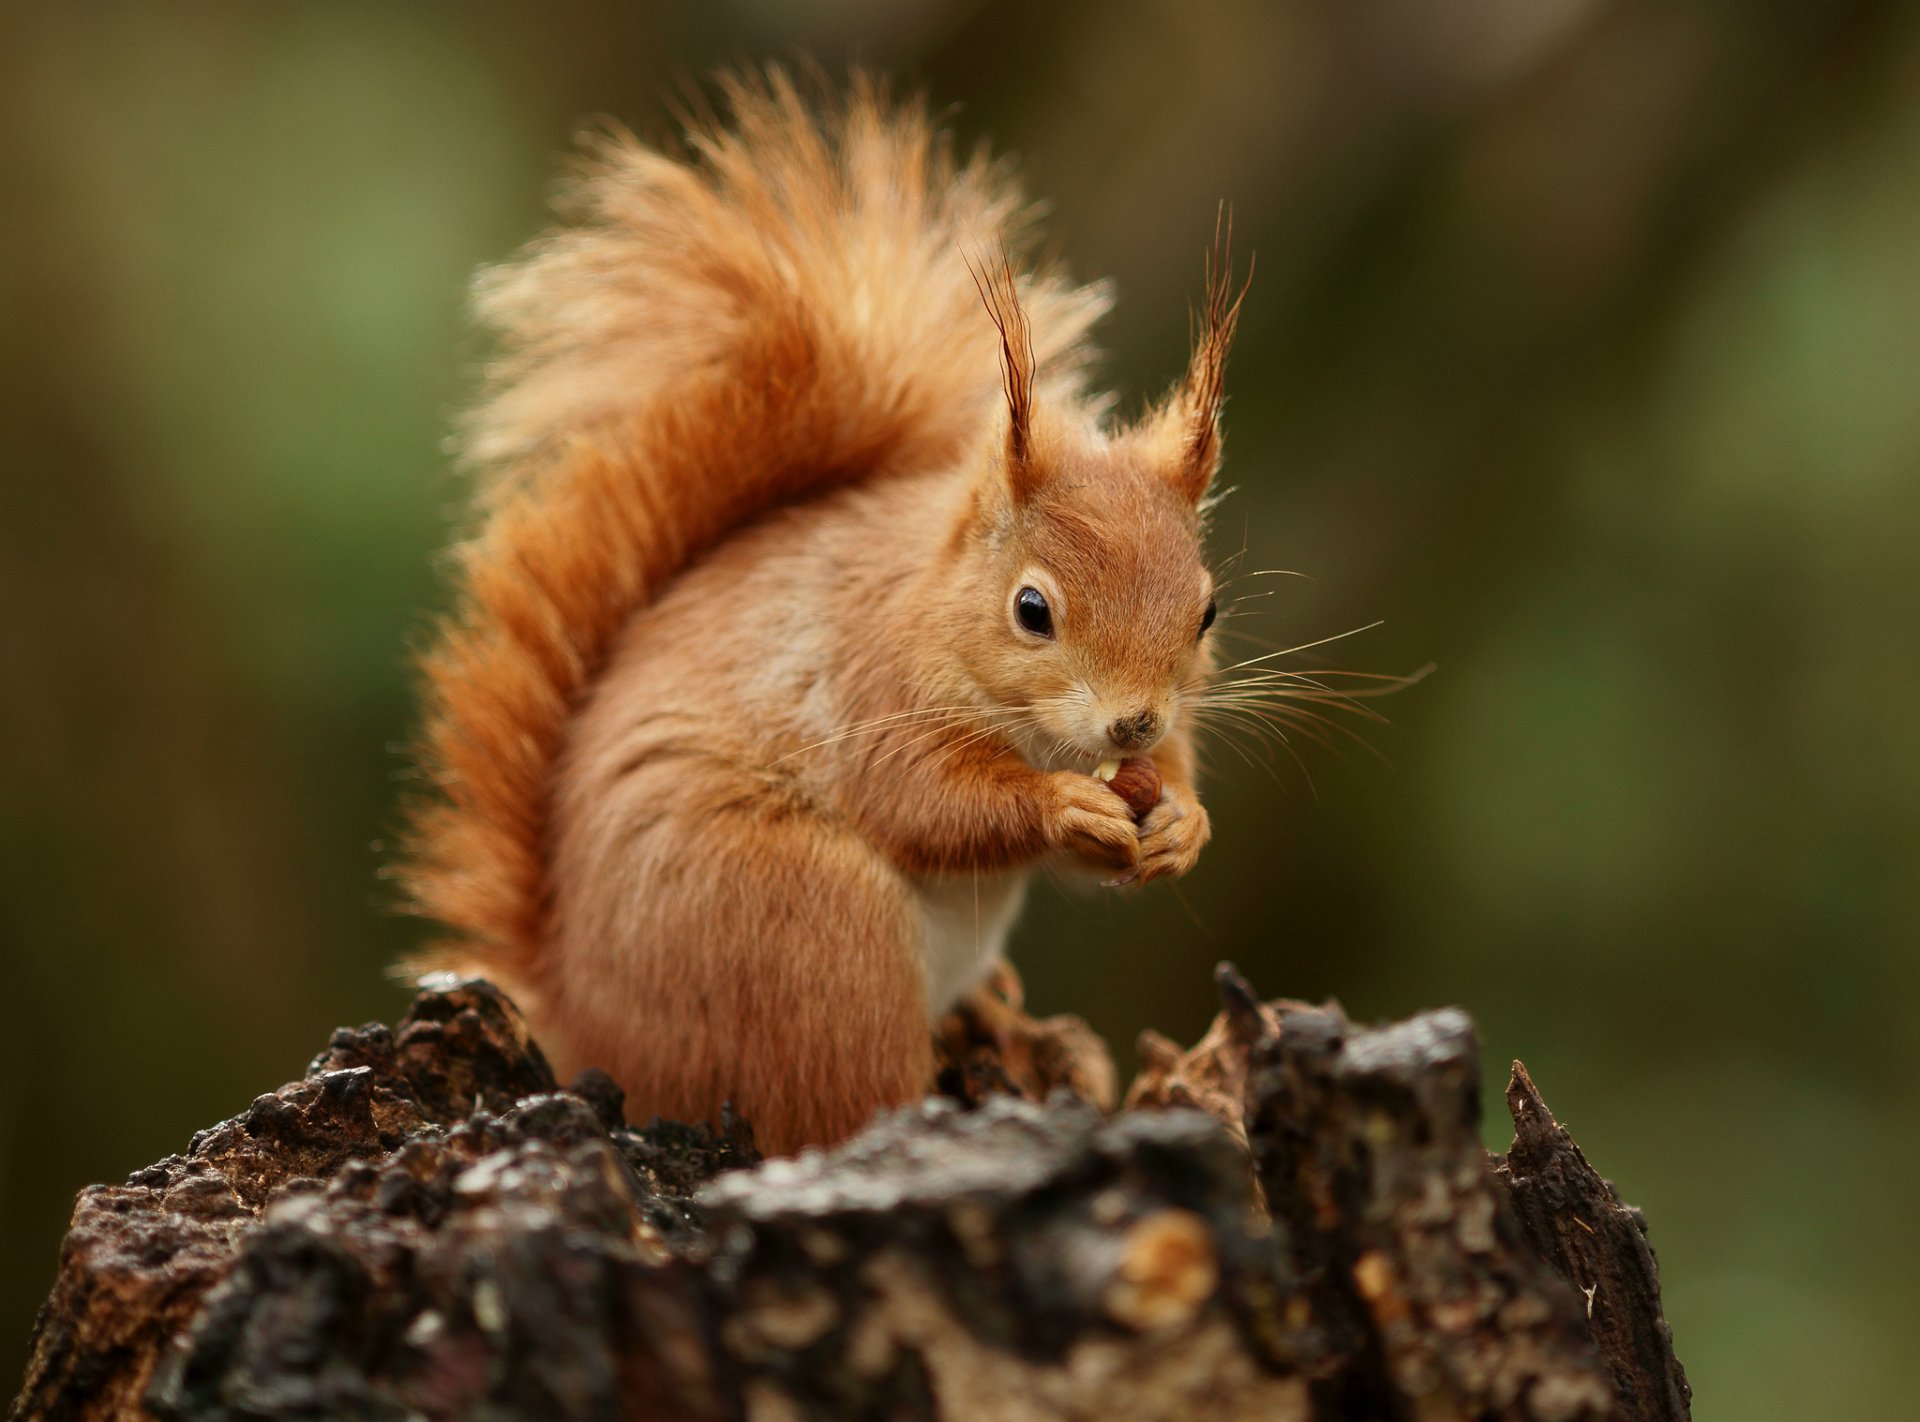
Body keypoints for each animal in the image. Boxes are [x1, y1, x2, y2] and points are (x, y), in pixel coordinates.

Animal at [398, 72, 1244, 1155]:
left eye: (1207, 610)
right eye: (1031, 610)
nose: (1132, 722)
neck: (933, 604)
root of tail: (588, 1026)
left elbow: (1167, 778)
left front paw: (1180, 821)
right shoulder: (867, 680)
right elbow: (924, 797)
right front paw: (1064, 806)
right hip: (810, 930)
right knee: (839, 1099)